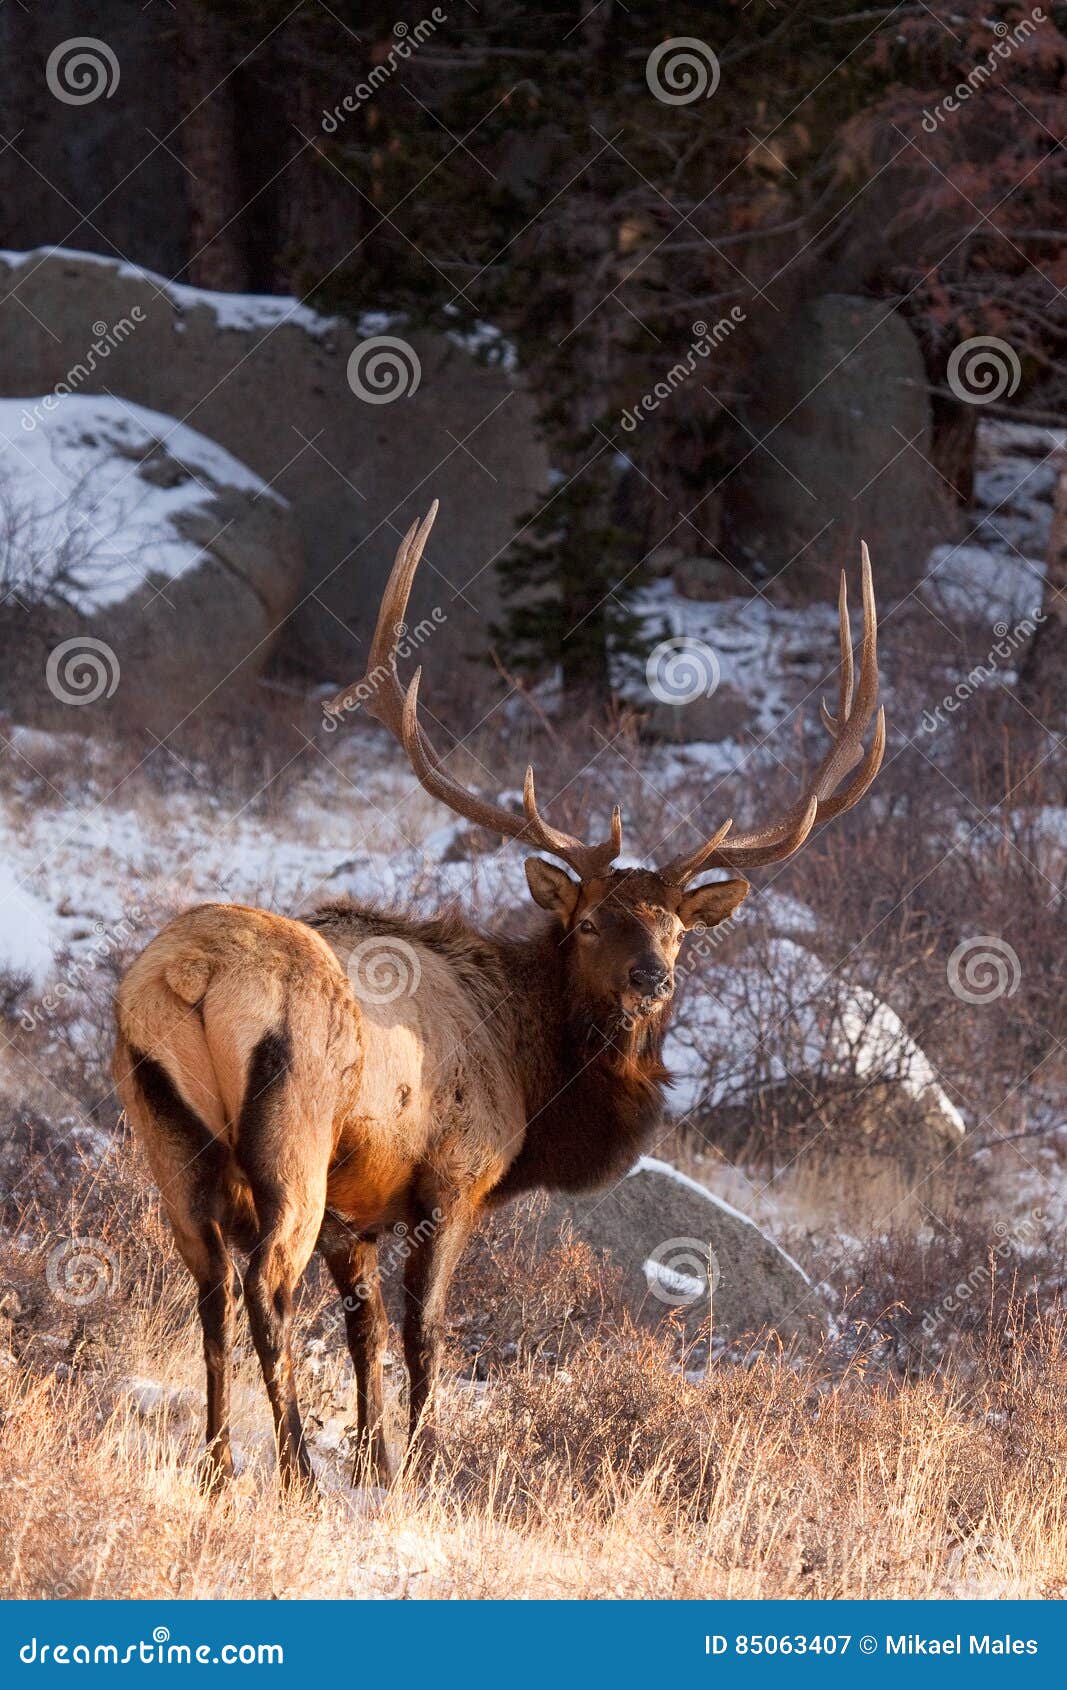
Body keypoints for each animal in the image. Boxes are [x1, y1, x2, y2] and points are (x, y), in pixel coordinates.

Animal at [112, 502, 884, 1492]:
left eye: (677, 929)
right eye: (588, 923)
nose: (653, 978)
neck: (529, 1069)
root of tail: (191, 977)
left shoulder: (358, 1211)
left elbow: (363, 1330)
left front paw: (376, 1460)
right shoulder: (452, 1173)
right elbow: (424, 1329)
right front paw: (424, 1462)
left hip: (166, 1131)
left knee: (208, 1287)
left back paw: (216, 1466)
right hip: (293, 1136)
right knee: (264, 1291)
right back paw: (293, 1474)